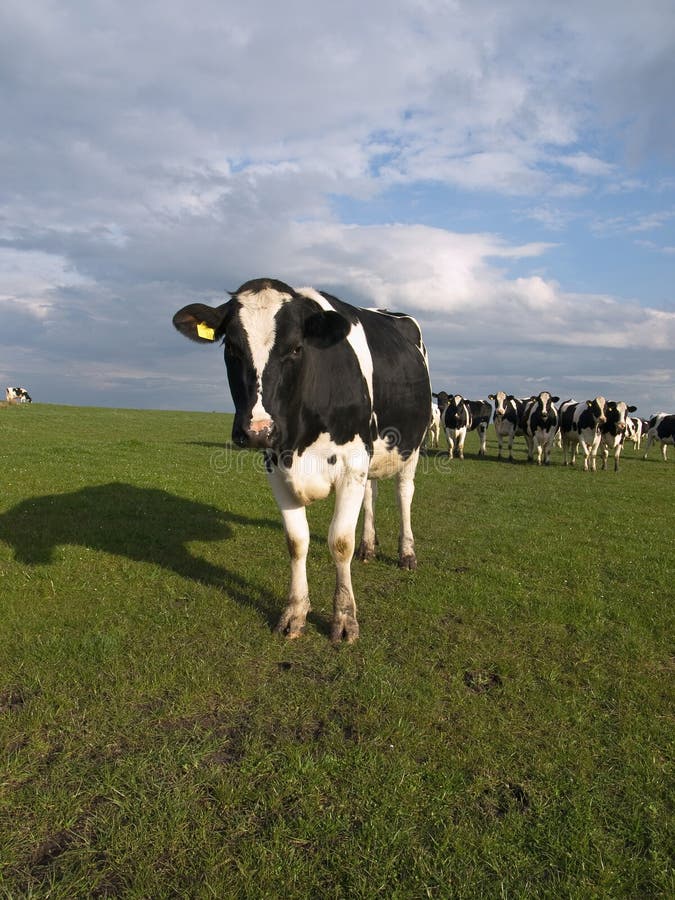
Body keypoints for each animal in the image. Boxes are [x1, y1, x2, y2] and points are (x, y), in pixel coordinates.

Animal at [173, 278, 432, 643]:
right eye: (232, 348)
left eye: (296, 348)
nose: (257, 430)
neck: (299, 441)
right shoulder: (276, 468)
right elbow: (296, 542)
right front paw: (294, 613)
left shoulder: (352, 462)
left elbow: (340, 541)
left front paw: (344, 619)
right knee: (371, 494)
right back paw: (368, 547)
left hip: (413, 444)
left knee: (404, 493)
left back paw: (406, 553)